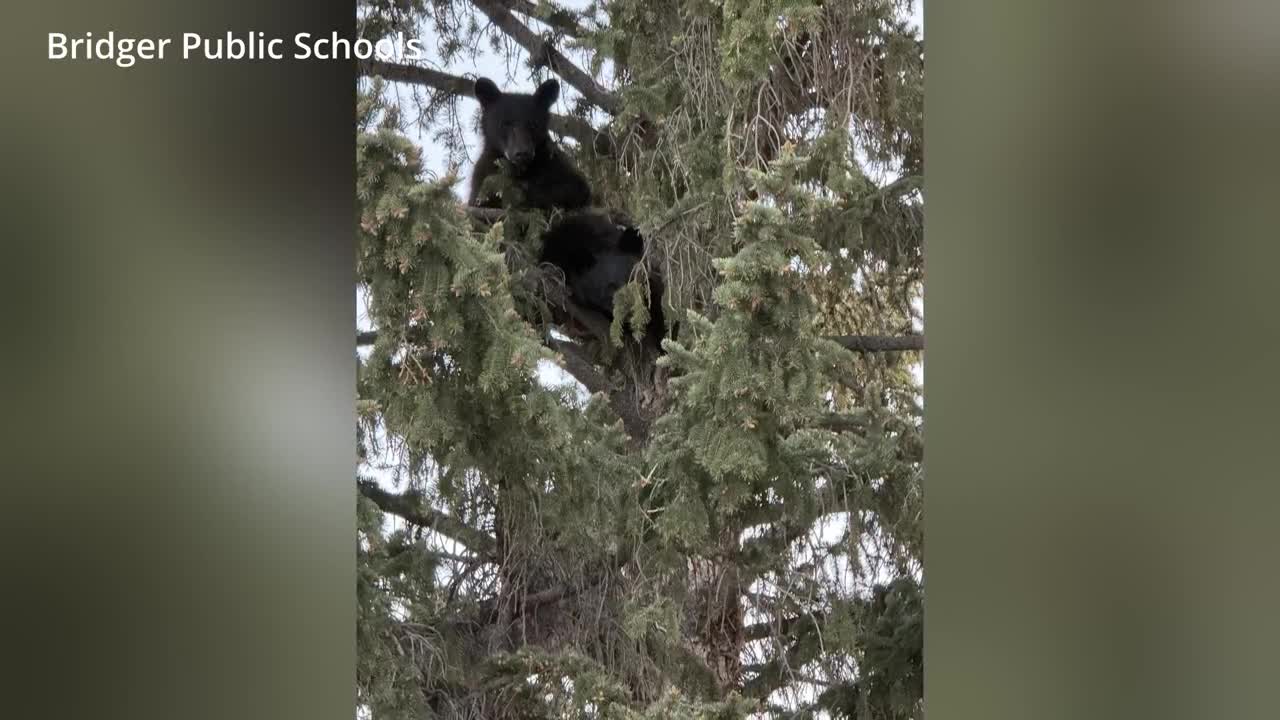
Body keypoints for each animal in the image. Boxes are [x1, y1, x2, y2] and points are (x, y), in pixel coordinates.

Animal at [468, 76, 668, 353]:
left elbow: (575, 189)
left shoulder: (558, 169)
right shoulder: (484, 178)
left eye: (532, 123)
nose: (522, 153)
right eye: (505, 123)